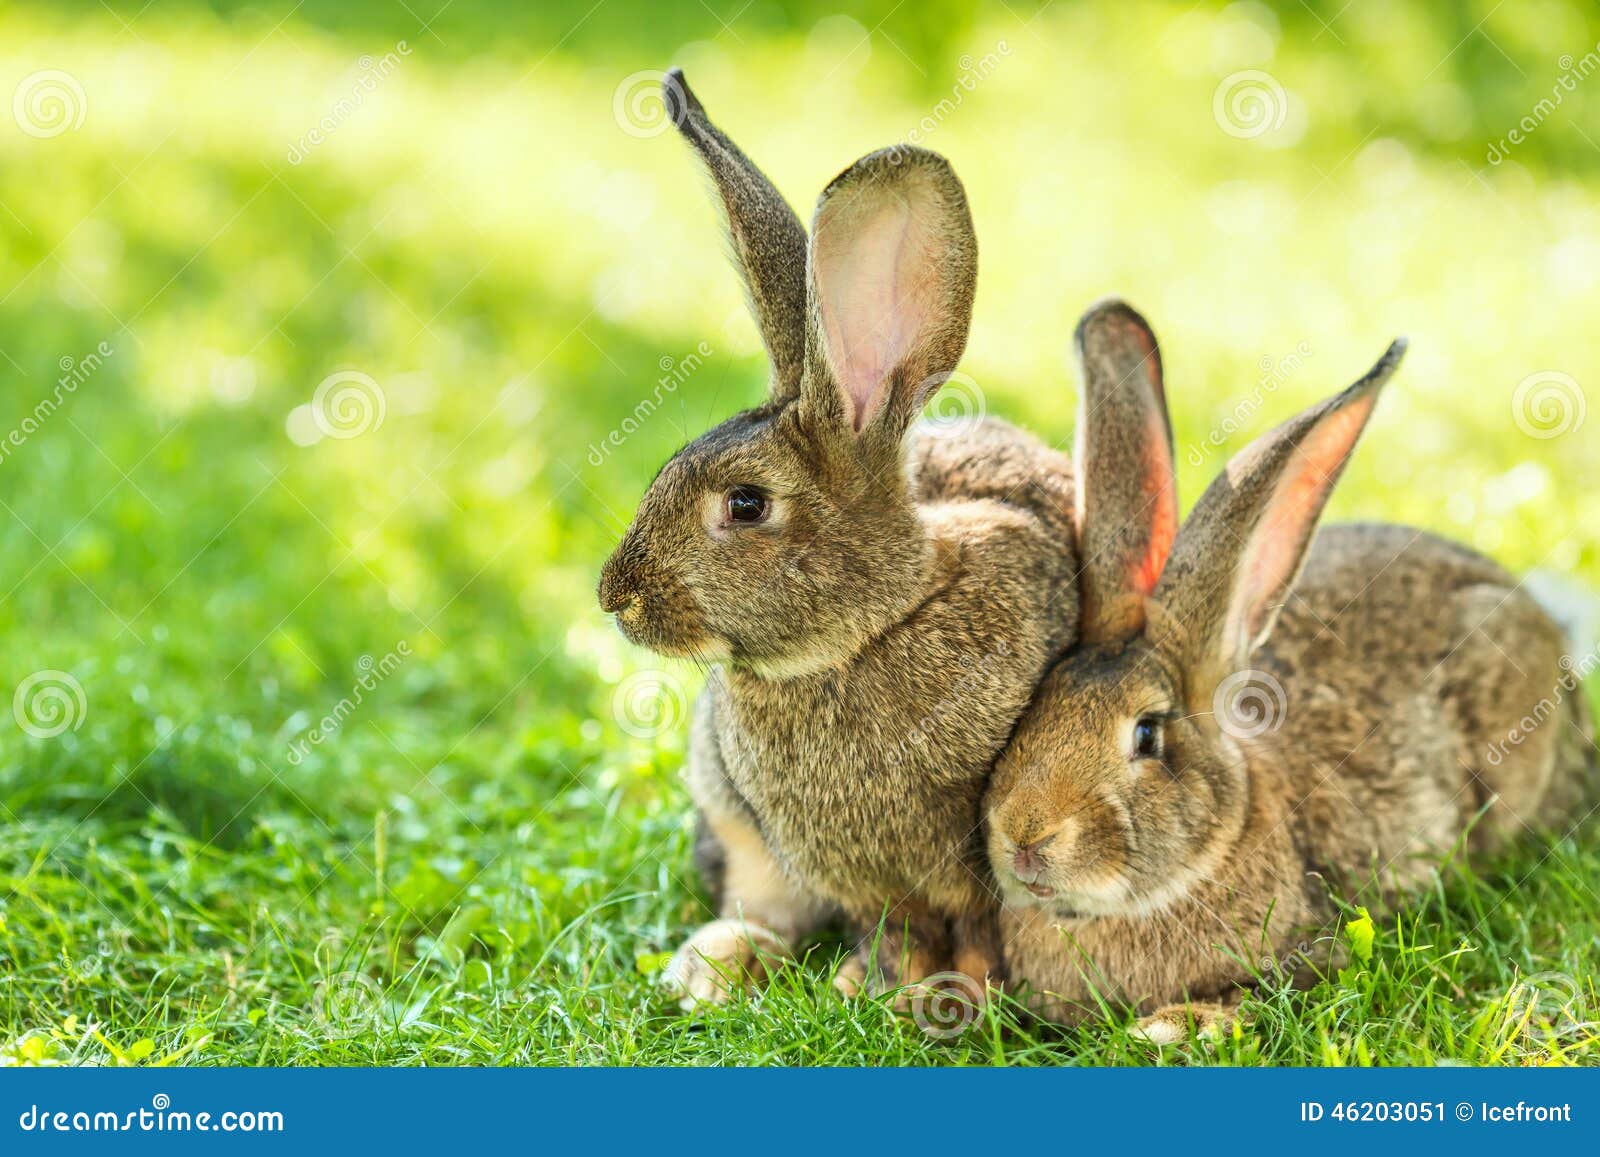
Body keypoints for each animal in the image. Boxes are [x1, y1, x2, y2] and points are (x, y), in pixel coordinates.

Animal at [597, 69, 1082, 1005]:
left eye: (746, 504)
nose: (616, 598)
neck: (871, 628)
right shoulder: (852, 873)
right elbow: (885, 924)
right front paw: (871, 983)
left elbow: (979, 924)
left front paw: (955, 994)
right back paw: (716, 964)